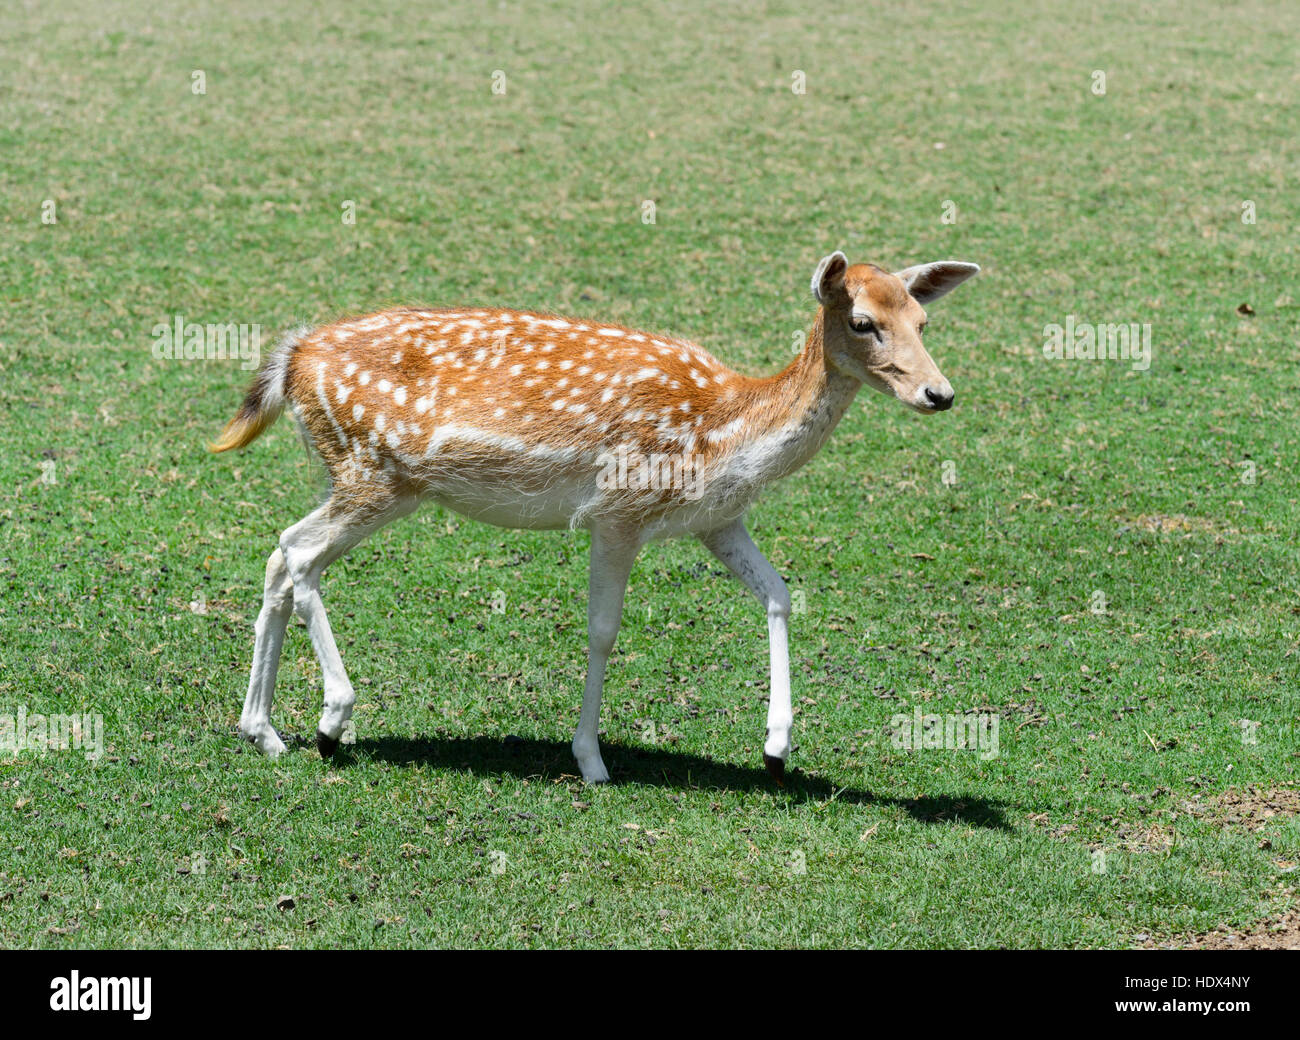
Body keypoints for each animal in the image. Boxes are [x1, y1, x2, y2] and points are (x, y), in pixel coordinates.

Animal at [210, 251, 979, 784]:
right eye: (863, 322)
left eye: (923, 321)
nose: (940, 393)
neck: (727, 435)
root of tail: (290, 359)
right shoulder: (619, 511)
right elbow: (604, 630)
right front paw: (590, 759)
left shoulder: (716, 520)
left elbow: (780, 594)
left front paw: (777, 748)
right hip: (377, 474)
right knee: (300, 555)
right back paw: (330, 720)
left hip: (353, 474)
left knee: (280, 553)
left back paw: (262, 731)